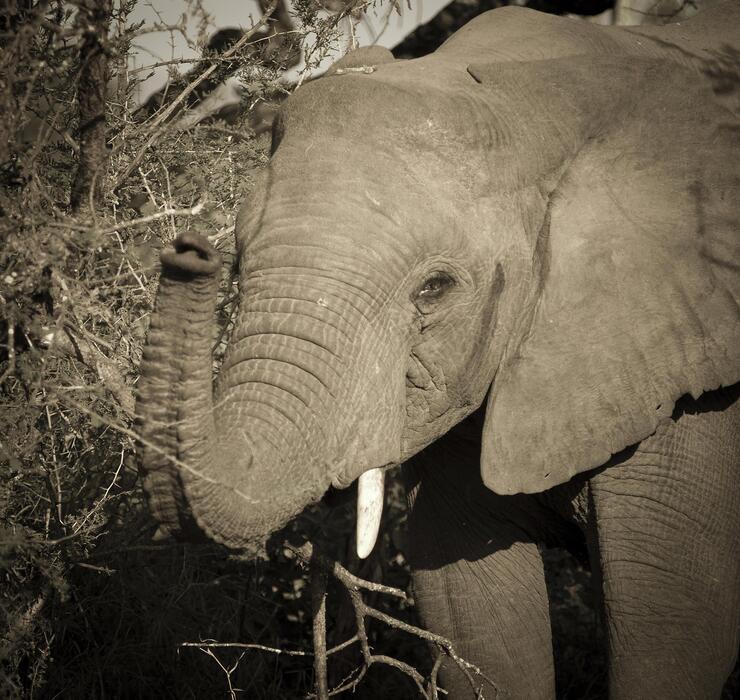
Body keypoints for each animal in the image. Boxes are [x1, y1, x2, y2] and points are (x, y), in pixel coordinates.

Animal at [135, 2, 740, 698]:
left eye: (435, 289)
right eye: (237, 257)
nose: (188, 250)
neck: (532, 95)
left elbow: (672, 622)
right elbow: (467, 608)